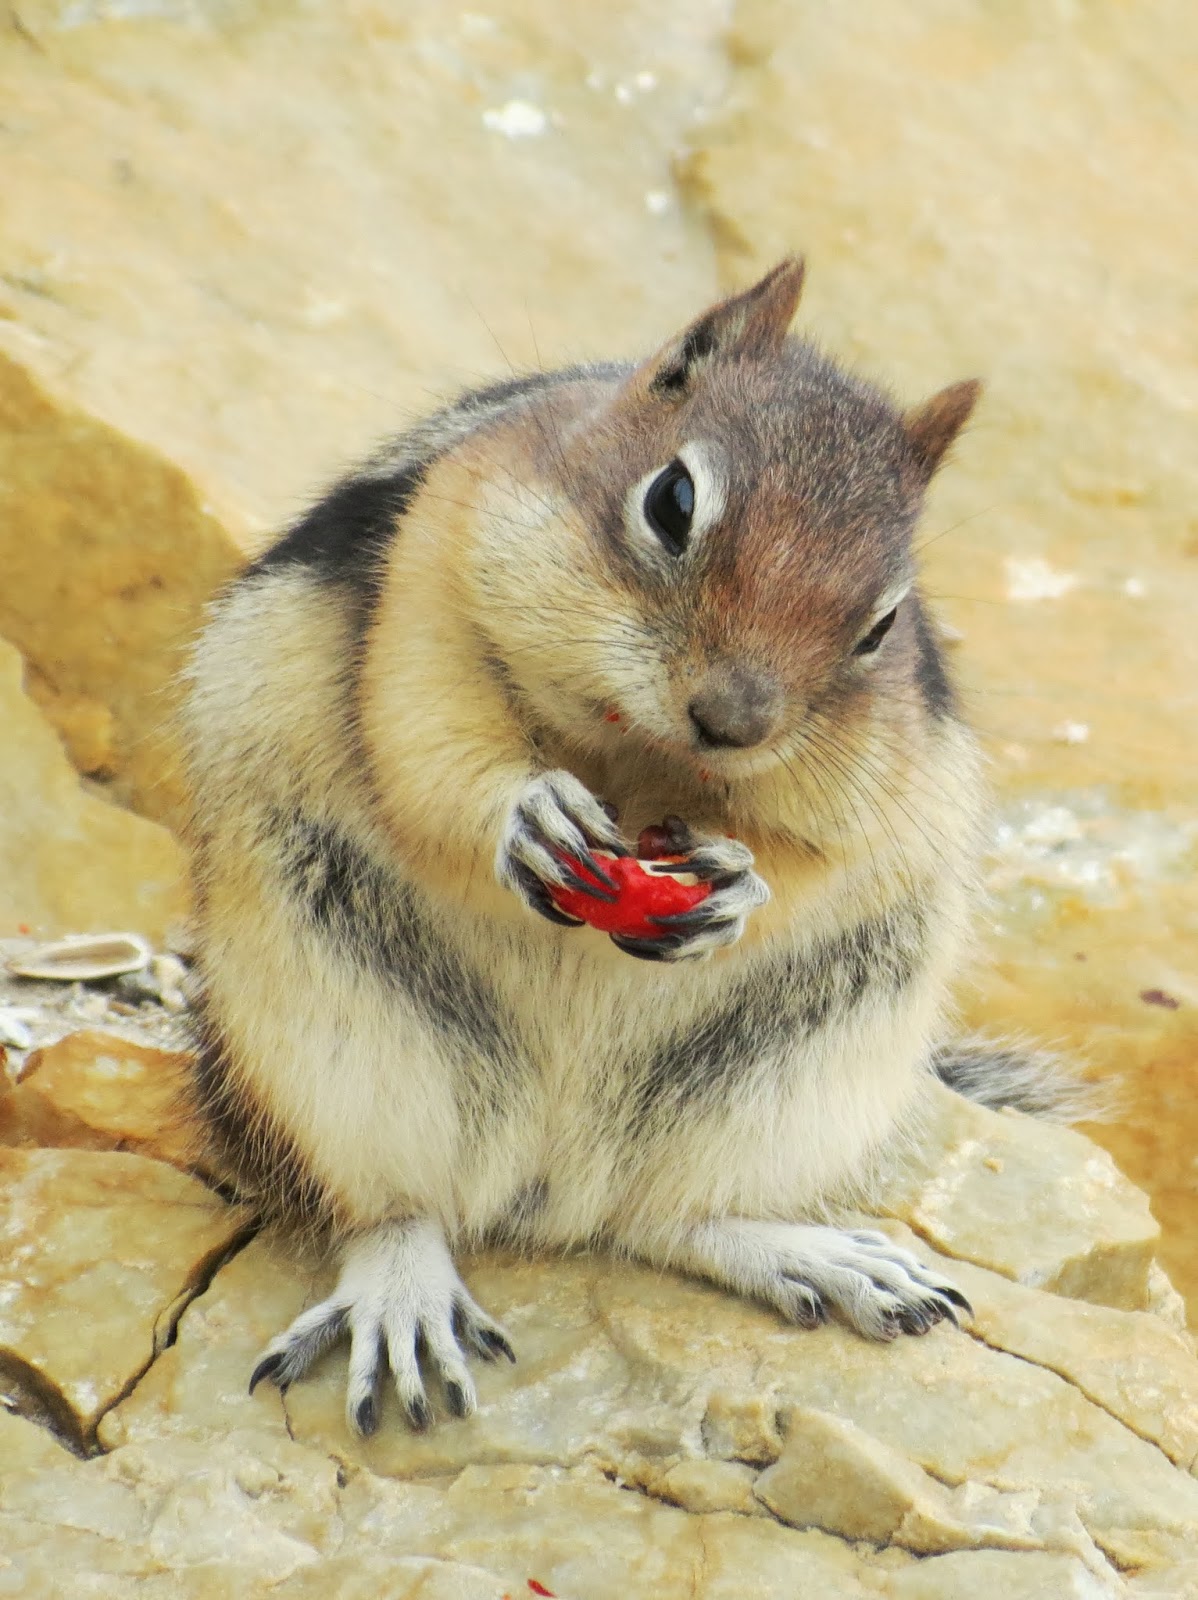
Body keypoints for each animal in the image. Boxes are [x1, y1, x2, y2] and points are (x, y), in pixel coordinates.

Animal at [181, 257, 1001, 1438]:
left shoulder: (875, 771)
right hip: (328, 1036)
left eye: (884, 624)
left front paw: (742, 887)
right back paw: (403, 1298)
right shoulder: (436, 568)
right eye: (672, 502)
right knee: (389, 1207)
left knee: (662, 1219)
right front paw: (527, 813)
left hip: (796, 1072)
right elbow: (429, 739)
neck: (641, 748)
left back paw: (820, 1257)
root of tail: (548, 1180)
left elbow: (825, 854)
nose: (734, 718)